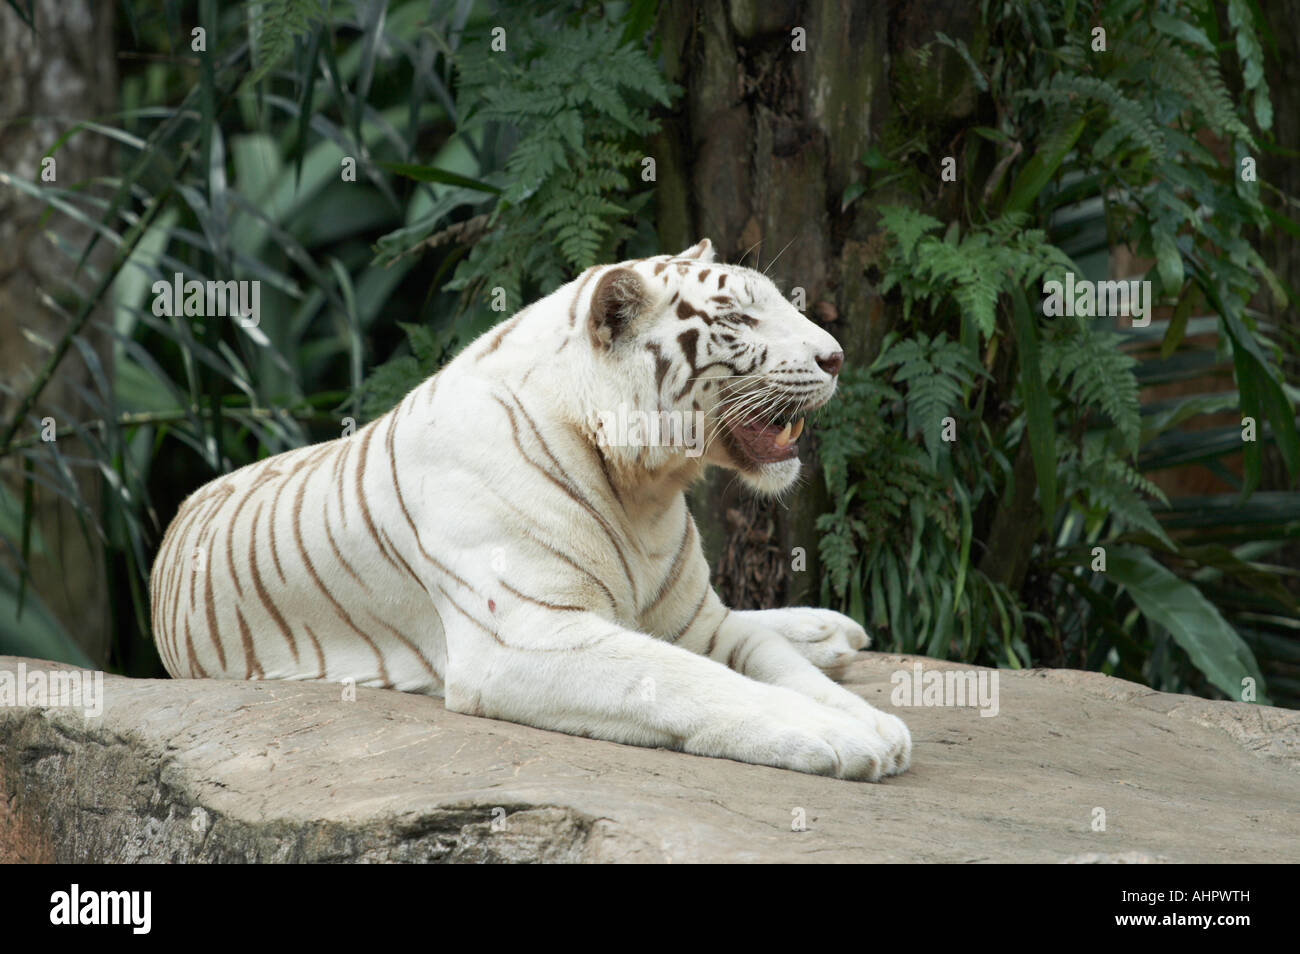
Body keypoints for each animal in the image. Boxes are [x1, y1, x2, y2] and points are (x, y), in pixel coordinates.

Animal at [149, 239, 912, 781]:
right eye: (741, 317)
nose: (837, 356)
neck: (643, 492)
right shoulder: (526, 637)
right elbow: (695, 683)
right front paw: (839, 736)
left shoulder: (699, 622)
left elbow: (773, 666)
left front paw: (870, 723)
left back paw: (829, 632)